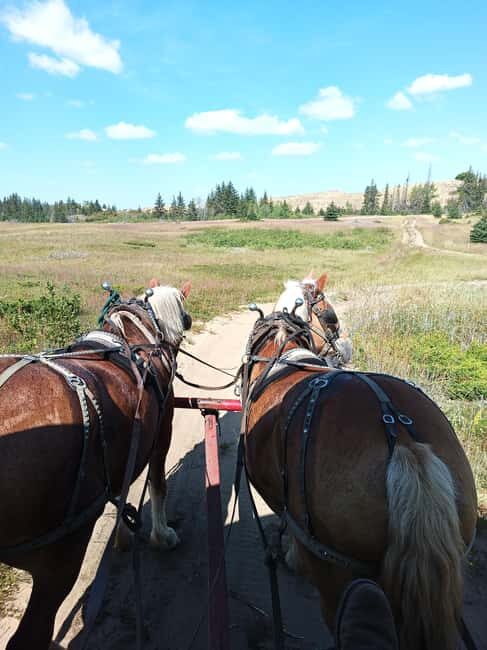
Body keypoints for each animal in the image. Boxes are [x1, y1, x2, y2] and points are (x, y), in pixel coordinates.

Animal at [0, 278, 192, 650]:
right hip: (59, 562)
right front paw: (161, 535)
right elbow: (158, 485)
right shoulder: (161, 432)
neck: (136, 337)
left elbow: (123, 491)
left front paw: (122, 535)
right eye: (187, 318)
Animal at [242, 272, 477, 650]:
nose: (343, 348)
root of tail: (402, 439)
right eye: (332, 317)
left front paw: (290, 555)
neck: (284, 355)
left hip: (337, 570)